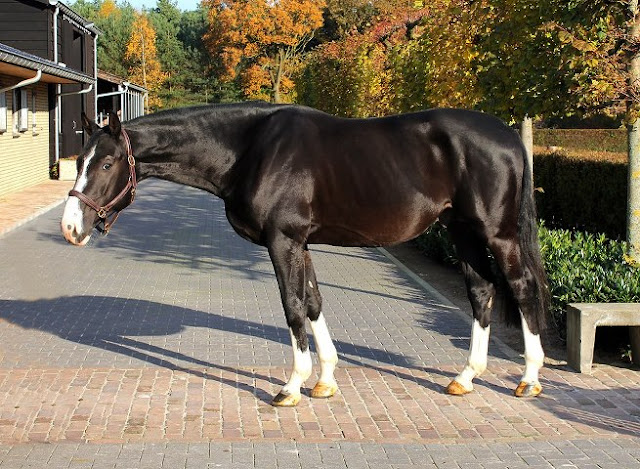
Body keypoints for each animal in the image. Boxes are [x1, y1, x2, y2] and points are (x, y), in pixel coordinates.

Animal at [61, 102, 549, 406]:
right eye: (79, 161)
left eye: (106, 163)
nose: (70, 228)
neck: (249, 148)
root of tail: (508, 136)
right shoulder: (303, 243)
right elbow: (313, 303)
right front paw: (326, 381)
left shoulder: (283, 241)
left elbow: (293, 308)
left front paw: (292, 387)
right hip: (461, 230)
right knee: (481, 291)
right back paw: (465, 377)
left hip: (497, 234)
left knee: (522, 289)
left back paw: (529, 379)